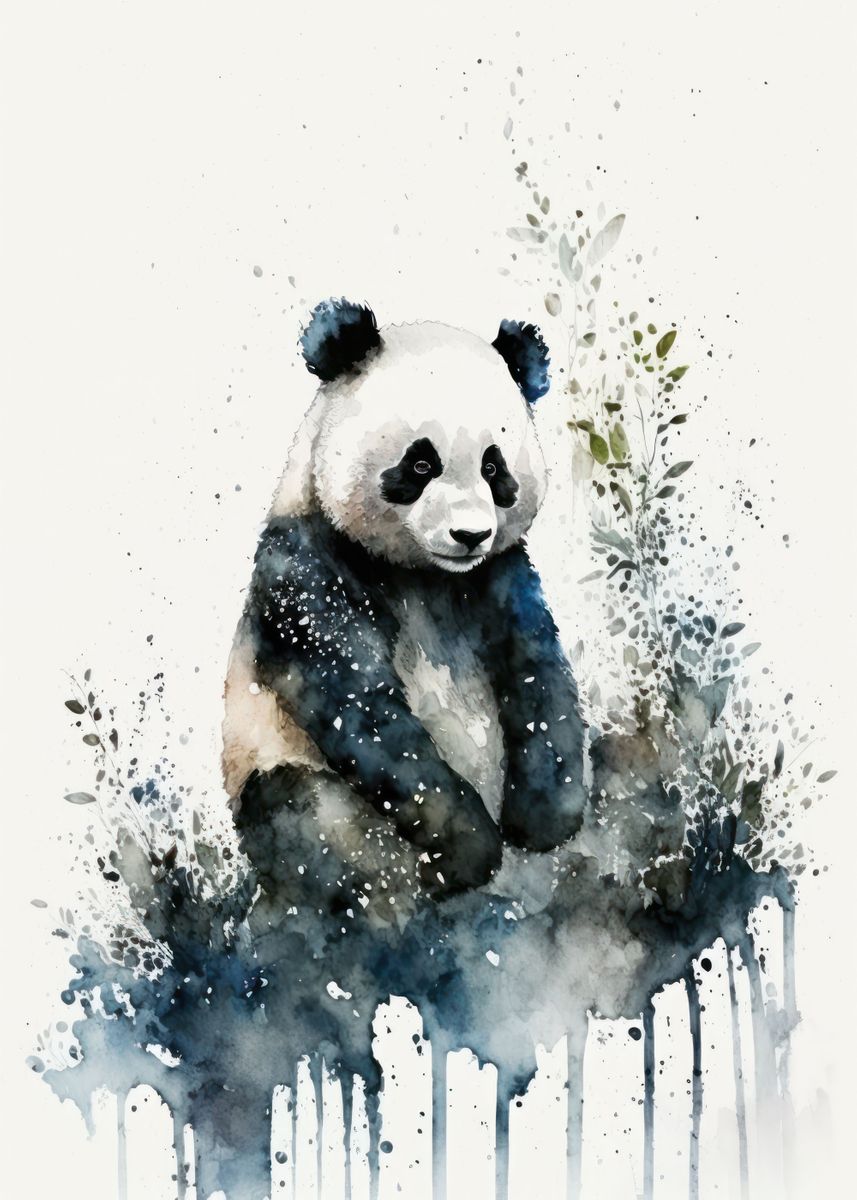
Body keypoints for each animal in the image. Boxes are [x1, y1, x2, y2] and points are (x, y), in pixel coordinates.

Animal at [222, 298, 587, 914]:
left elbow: (537, 670)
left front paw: (544, 819)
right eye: (420, 465)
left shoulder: (498, 575)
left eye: (494, 467)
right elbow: (359, 704)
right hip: (282, 771)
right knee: (307, 823)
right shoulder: (307, 566)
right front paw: (470, 847)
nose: (470, 535)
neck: (423, 574)